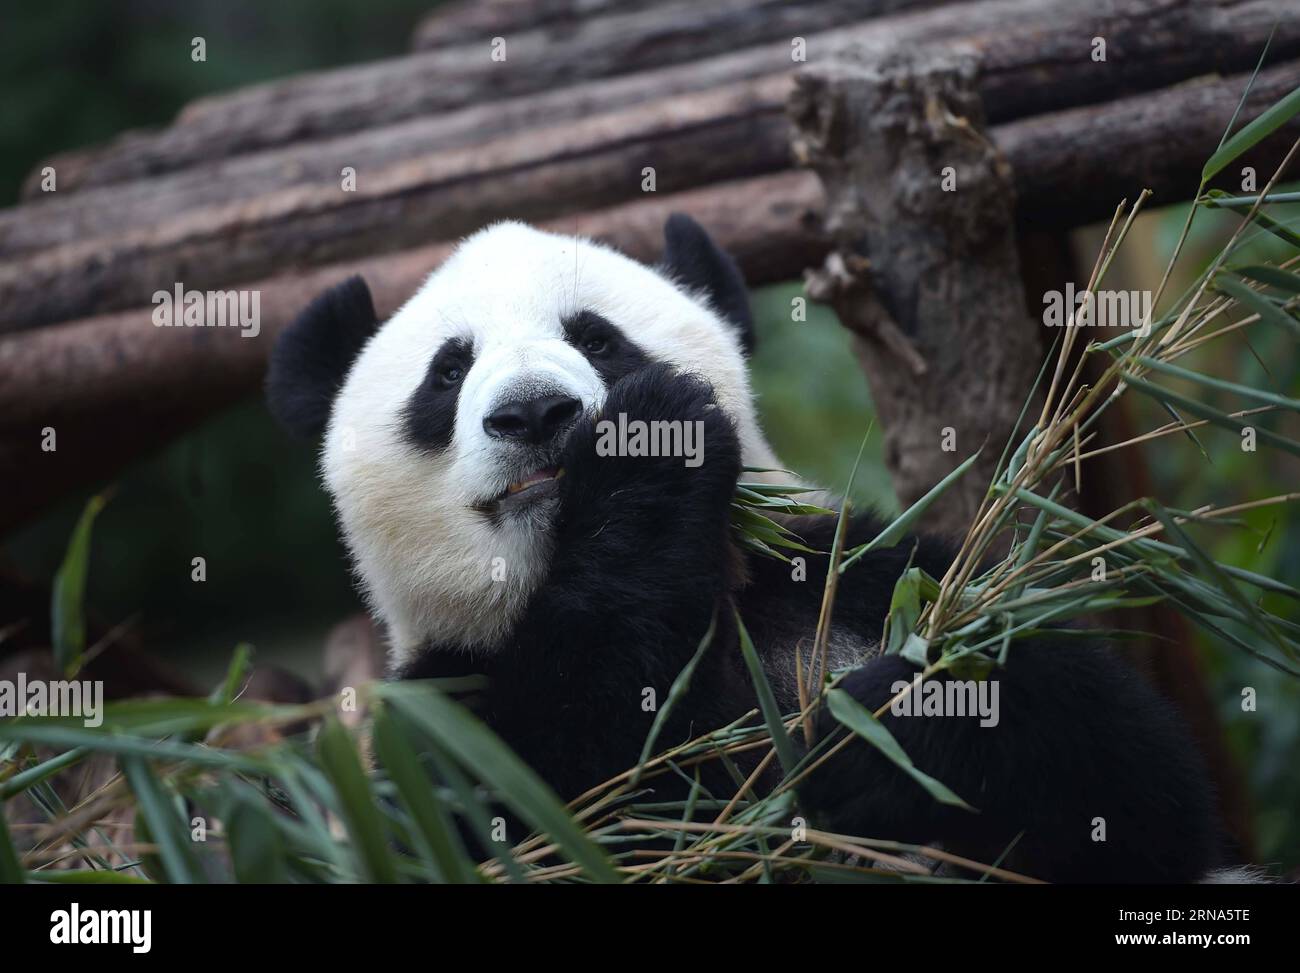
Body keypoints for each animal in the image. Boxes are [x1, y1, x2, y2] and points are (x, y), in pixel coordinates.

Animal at [266, 214, 1228, 883]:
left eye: (596, 337)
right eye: (448, 372)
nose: (536, 412)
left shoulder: (845, 577)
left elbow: (1140, 788)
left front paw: (889, 730)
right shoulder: (424, 720)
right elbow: (559, 801)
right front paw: (646, 456)